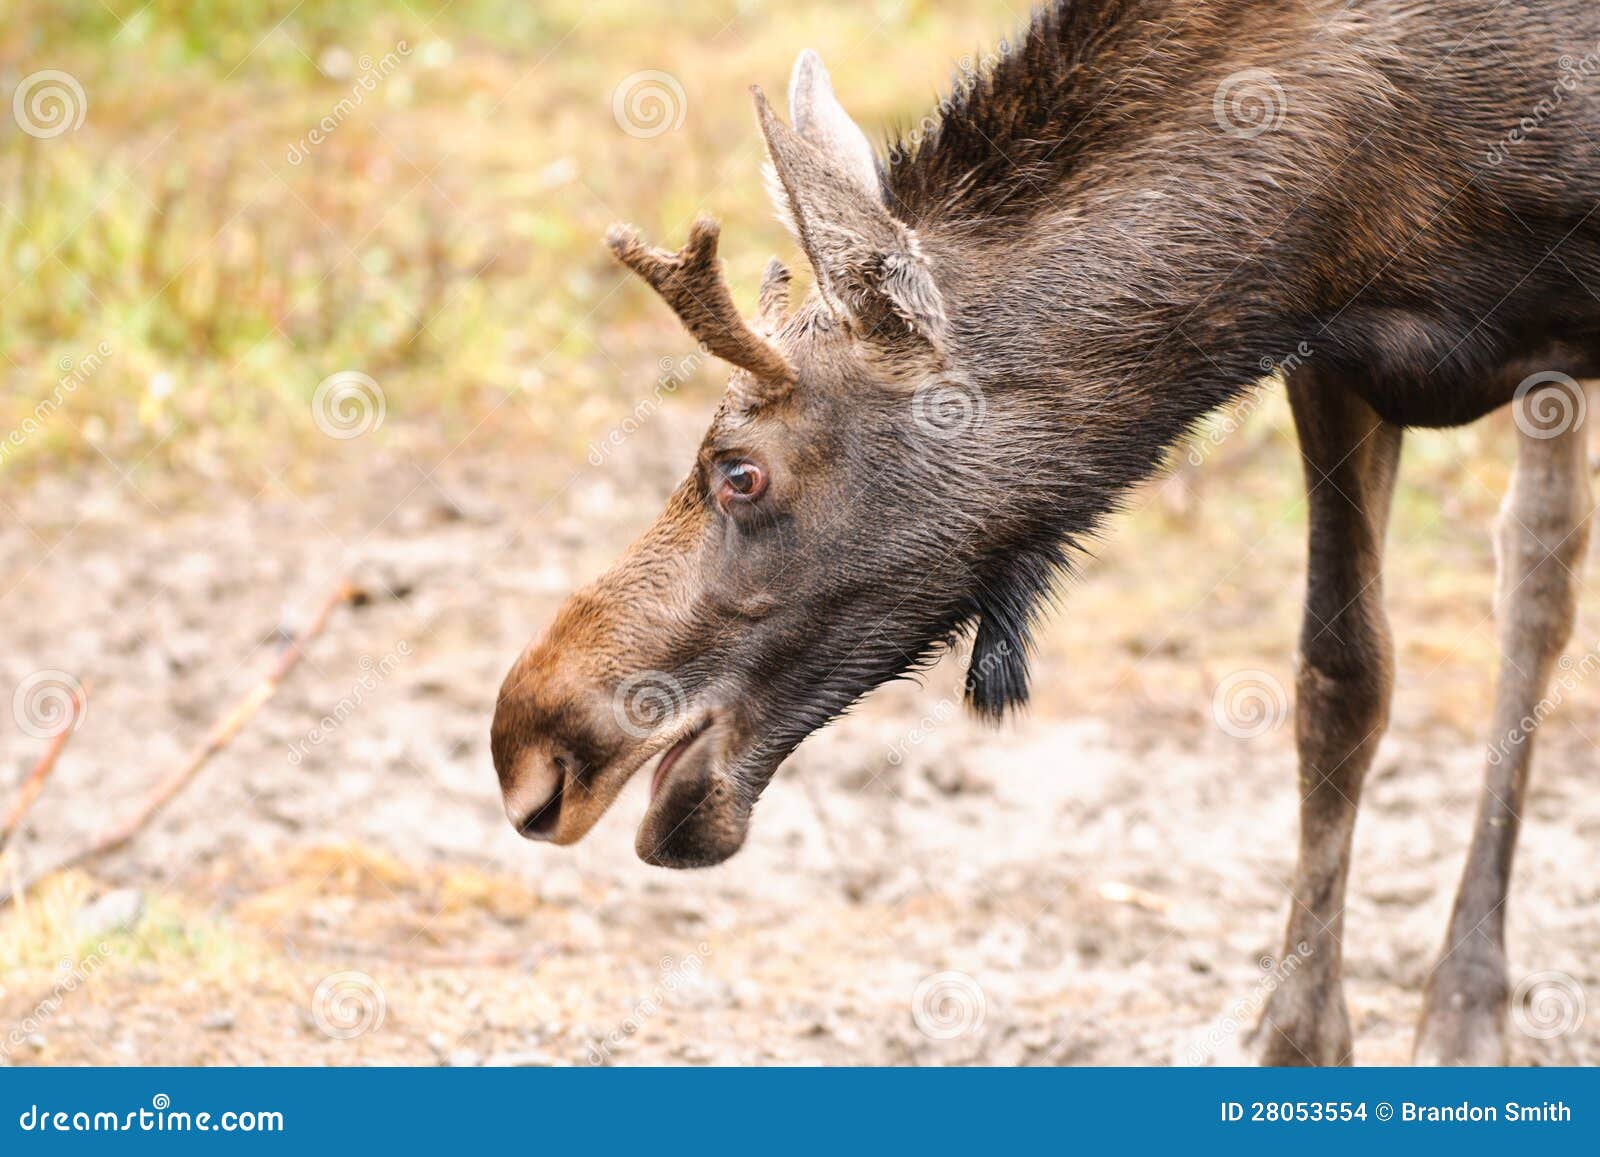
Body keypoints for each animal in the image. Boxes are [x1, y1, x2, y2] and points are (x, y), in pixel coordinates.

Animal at [492, 0, 1600, 1065]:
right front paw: (1293, 1037)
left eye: (740, 472)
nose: (527, 743)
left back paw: (1468, 1003)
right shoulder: (1328, 351)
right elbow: (1342, 676)